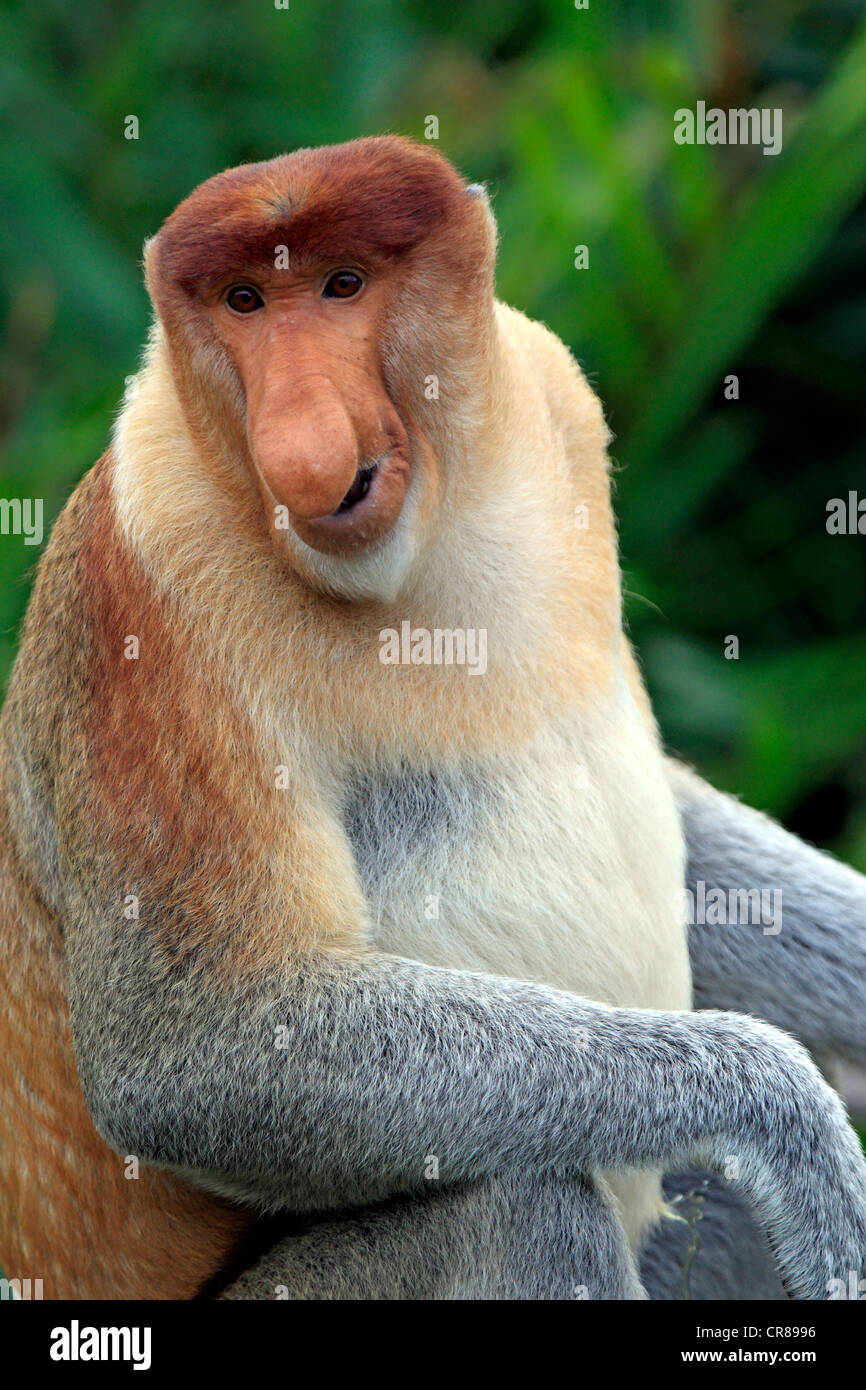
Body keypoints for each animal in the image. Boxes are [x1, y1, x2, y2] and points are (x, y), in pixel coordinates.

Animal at [0, 136, 864, 1302]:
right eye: (243, 300)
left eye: (341, 284)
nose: (300, 443)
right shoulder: (143, 592)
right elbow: (192, 1056)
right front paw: (789, 1122)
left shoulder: (552, 394)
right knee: (520, 1203)